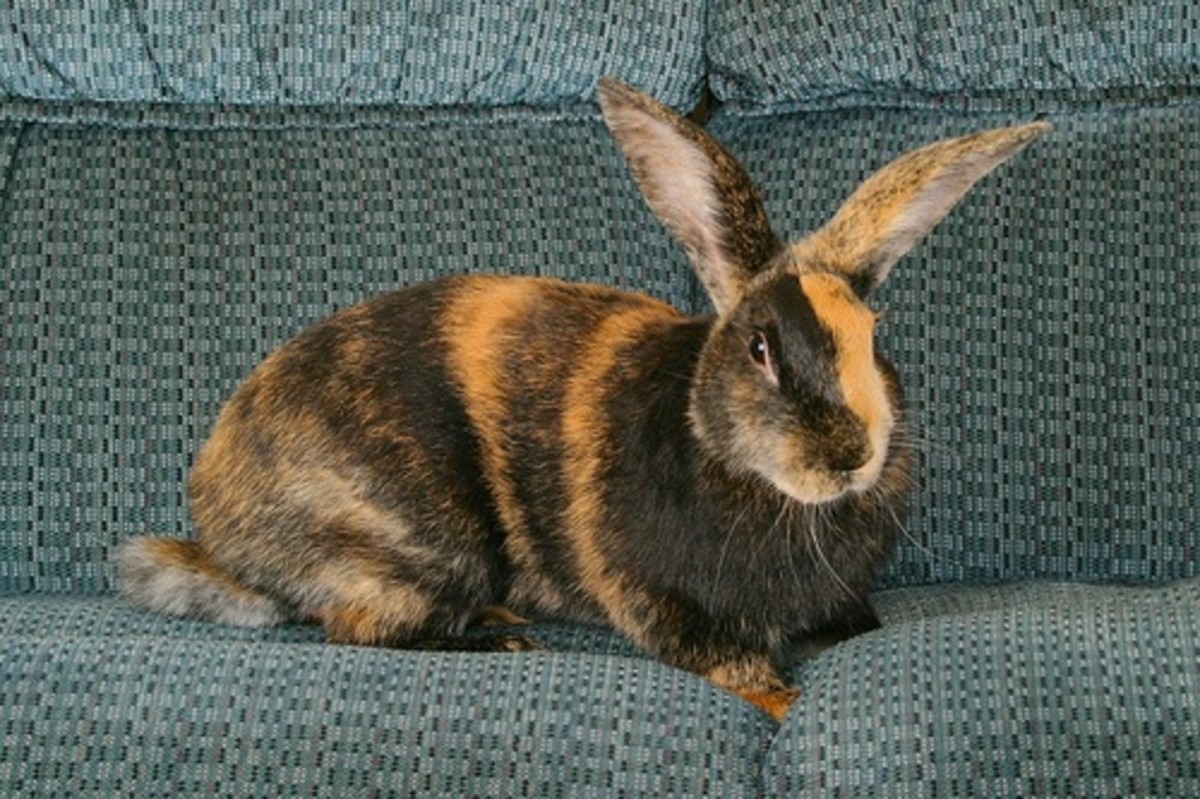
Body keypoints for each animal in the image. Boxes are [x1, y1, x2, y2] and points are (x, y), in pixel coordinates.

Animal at [116, 77, 1050, 721]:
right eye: (759, 348)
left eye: (873, 336)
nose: (852, 454)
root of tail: (224, 533)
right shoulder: (660, 601)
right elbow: (736, 666)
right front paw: (785, 701)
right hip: (420, 540)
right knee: (358, 626)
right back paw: (499, 635)